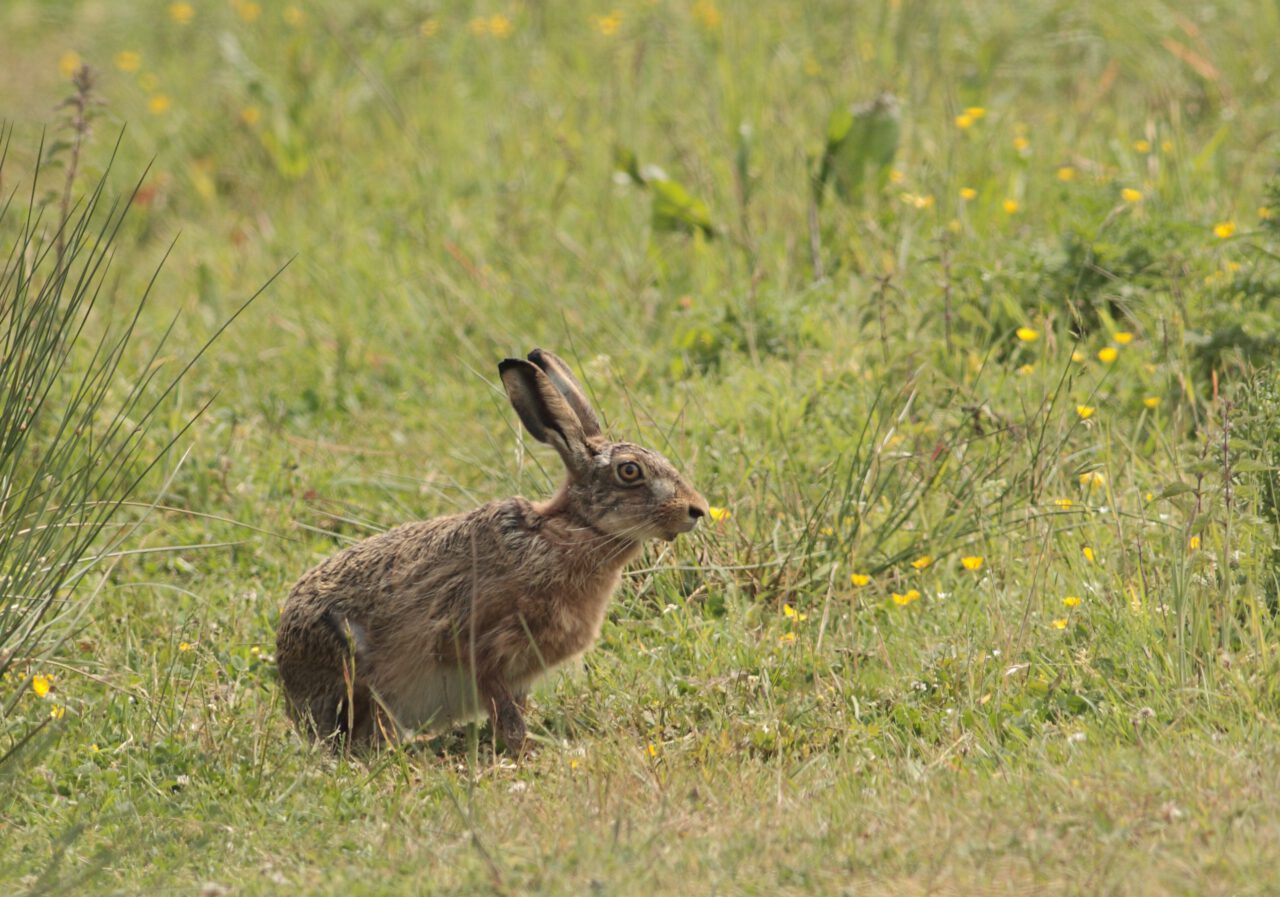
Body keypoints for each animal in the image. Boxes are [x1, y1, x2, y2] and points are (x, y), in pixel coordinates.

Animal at [275, 348, 709, 751]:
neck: (569, 530)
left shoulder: (522, 672)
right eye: (630, 471)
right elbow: (504, 710)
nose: (697, 509)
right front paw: (522, 748)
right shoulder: (481, 647)